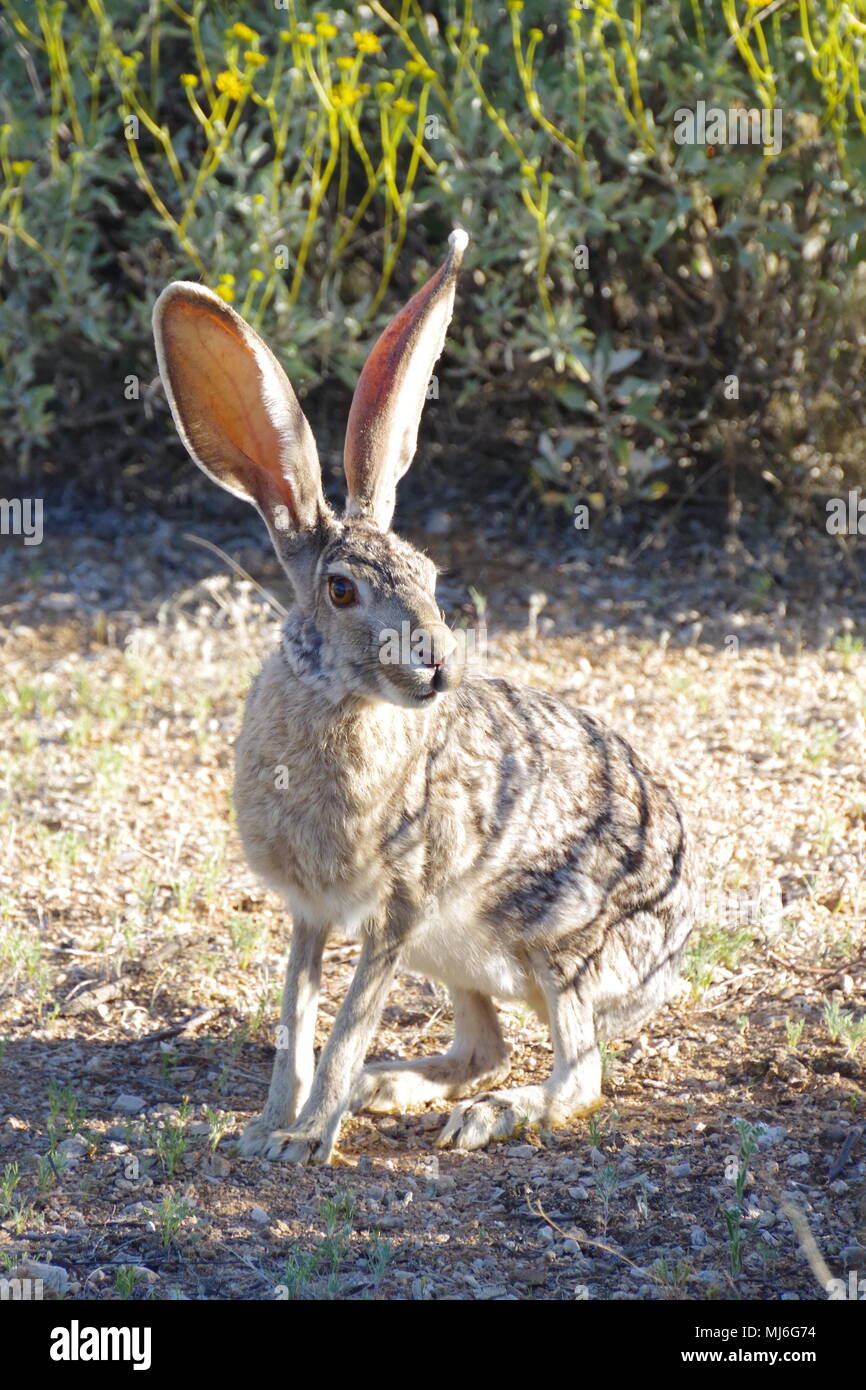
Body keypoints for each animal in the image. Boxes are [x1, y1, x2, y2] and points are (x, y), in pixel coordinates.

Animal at [152, 229, 696, 1164]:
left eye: (433, 578)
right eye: (341, 592)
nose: (437, 668)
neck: (342, 709)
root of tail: (674, 953)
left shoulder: (396, 913)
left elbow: (343, 1028)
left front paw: (305, 1139)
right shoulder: (311, 914)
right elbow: (295, 1020)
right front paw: (266, 1129)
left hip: (559, 948)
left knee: (576, 1073)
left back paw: (483, 1115)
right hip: (455, 955)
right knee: (486, 1046)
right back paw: (389, 1090)